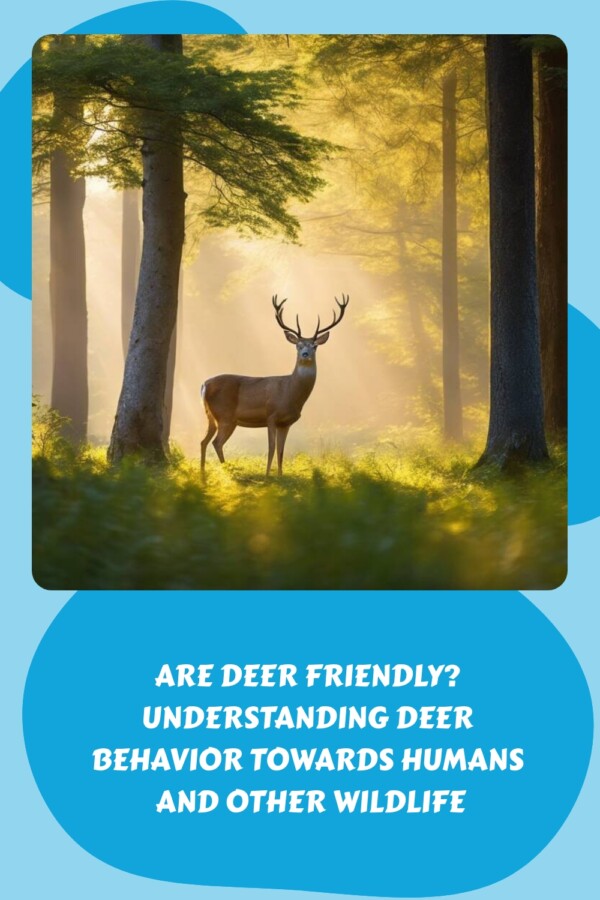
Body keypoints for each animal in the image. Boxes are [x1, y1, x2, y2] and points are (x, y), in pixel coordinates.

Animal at [200, 294, 349, 475]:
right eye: (298, 345)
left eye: (315, 346)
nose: (305, 354)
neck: (290, 392)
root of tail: (205, 384)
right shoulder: (271, 415)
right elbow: (271, 448)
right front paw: (267, 475)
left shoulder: (285, 422)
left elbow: (281, 450)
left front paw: (280, 474)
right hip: (226, 415)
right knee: (217, 442)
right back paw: (227, 471)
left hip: (211, 416)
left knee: (203, 441)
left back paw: (203, 472)